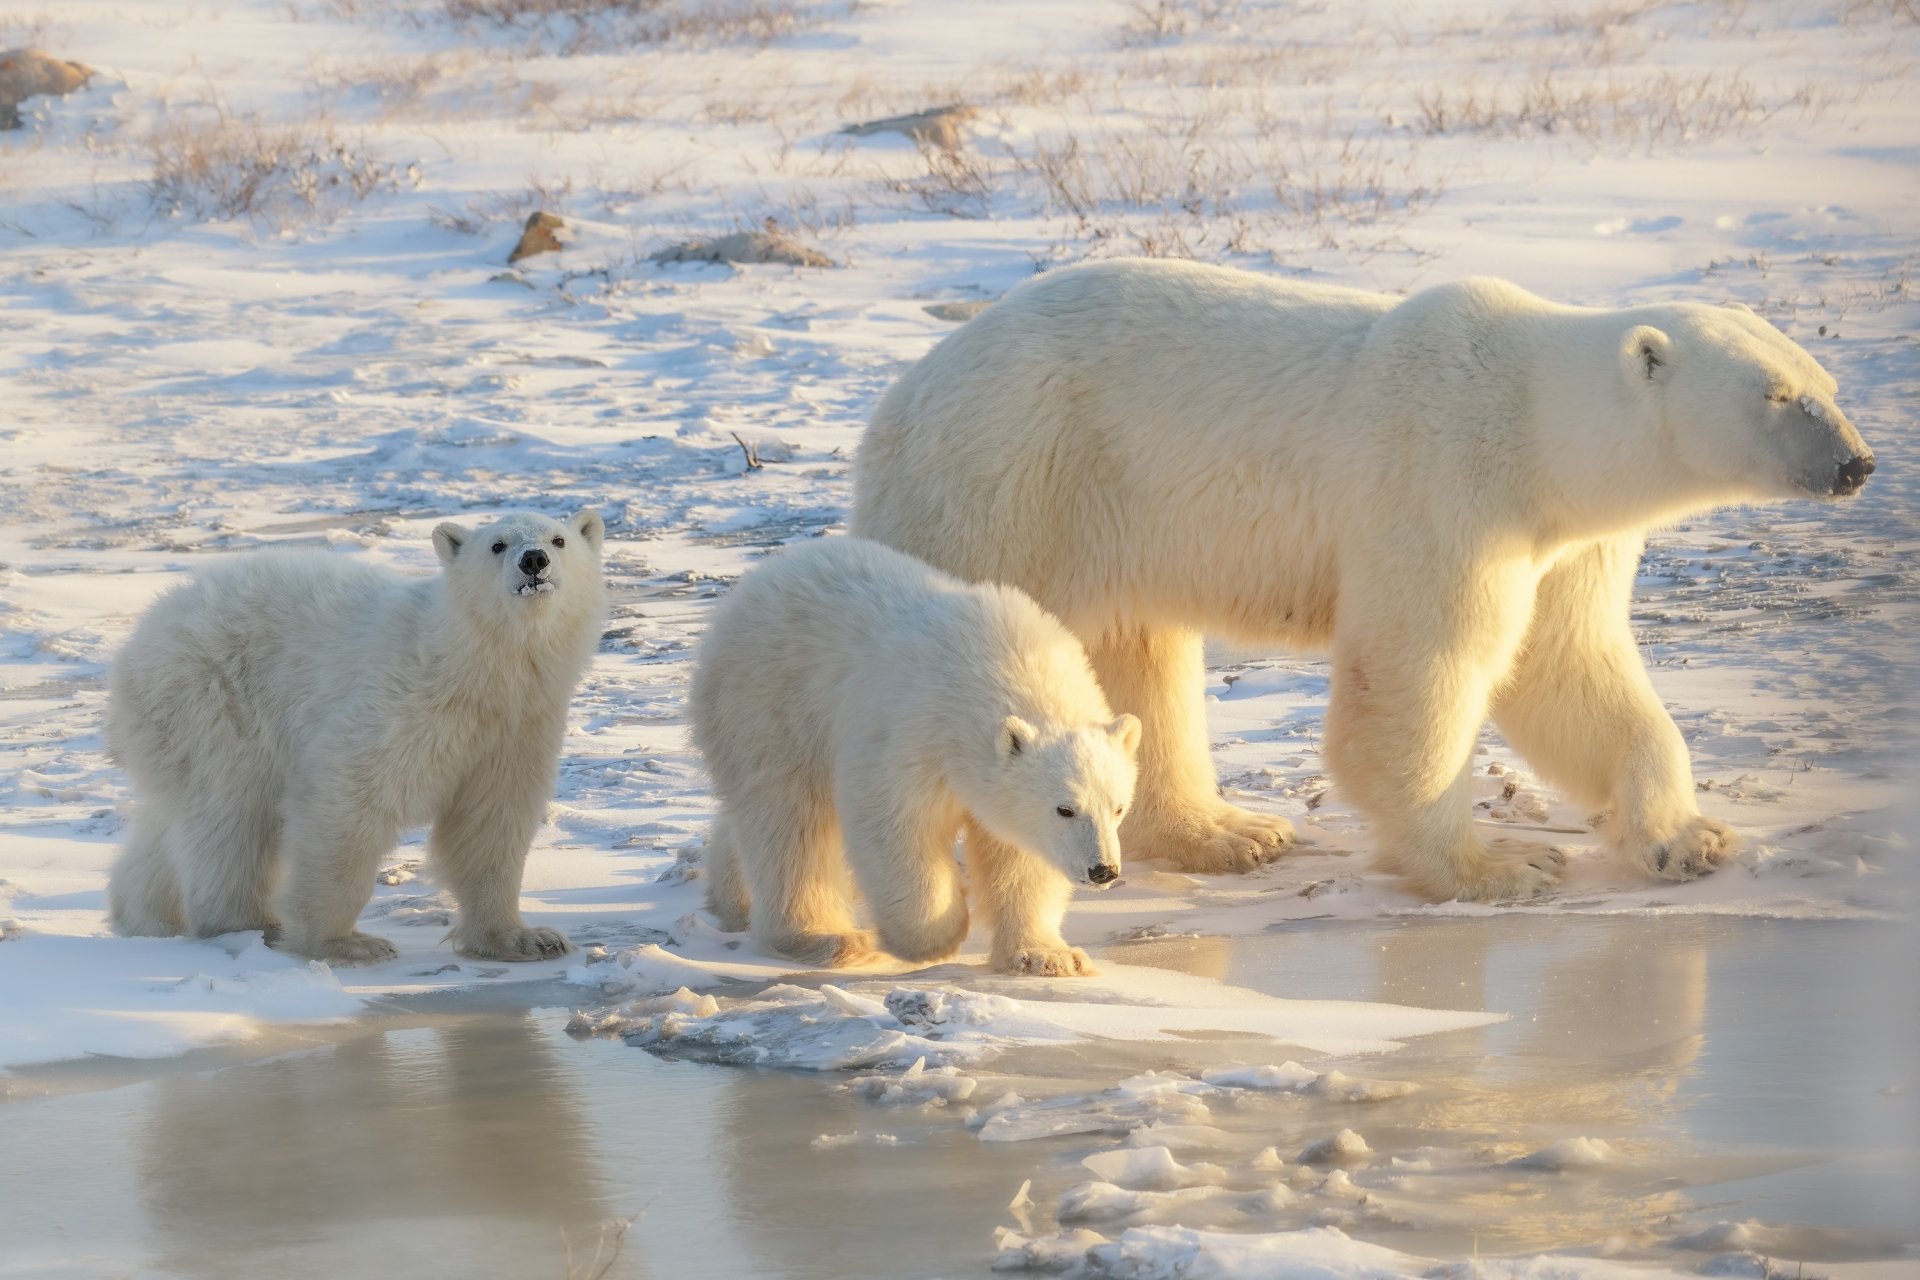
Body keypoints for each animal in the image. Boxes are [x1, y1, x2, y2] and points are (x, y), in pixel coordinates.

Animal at [106, 510, 607, 964]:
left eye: (558, 539)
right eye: (497, 545)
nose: (534, 561)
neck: (474, 670)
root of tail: (146, 630)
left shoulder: (518, 726)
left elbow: (491, 821)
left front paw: (527, 938)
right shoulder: (407, 701)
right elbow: (352, 796)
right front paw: (342, 943)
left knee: (173, 820)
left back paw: (146, 915)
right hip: (215, 695)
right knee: (231, 811)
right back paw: (249, 923)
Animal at [690, 536, 1141, 977]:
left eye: (1118, 808)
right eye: (1066, 808)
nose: (1103, 870)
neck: (1002, 663)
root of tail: (757, 581)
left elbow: (1020, 855)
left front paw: (1049, 956)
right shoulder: (911, 731)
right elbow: (896, 824)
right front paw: (933, 937)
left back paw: (733, 900)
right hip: (771, 703)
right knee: (791, 822)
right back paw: (828, 938)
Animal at [851, 259, 1875, 901]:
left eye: (1826, 382)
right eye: (1778, 396)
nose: (1857, 464)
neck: (1534, 421)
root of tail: (901, 398)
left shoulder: (1566, 540)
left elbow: (1573, 669)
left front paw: (1688, 839)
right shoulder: (1441, 476)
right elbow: (1423, 669)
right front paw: (1497, 867)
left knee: (1136, 655)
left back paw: (1231, 833)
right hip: (1007, 485)